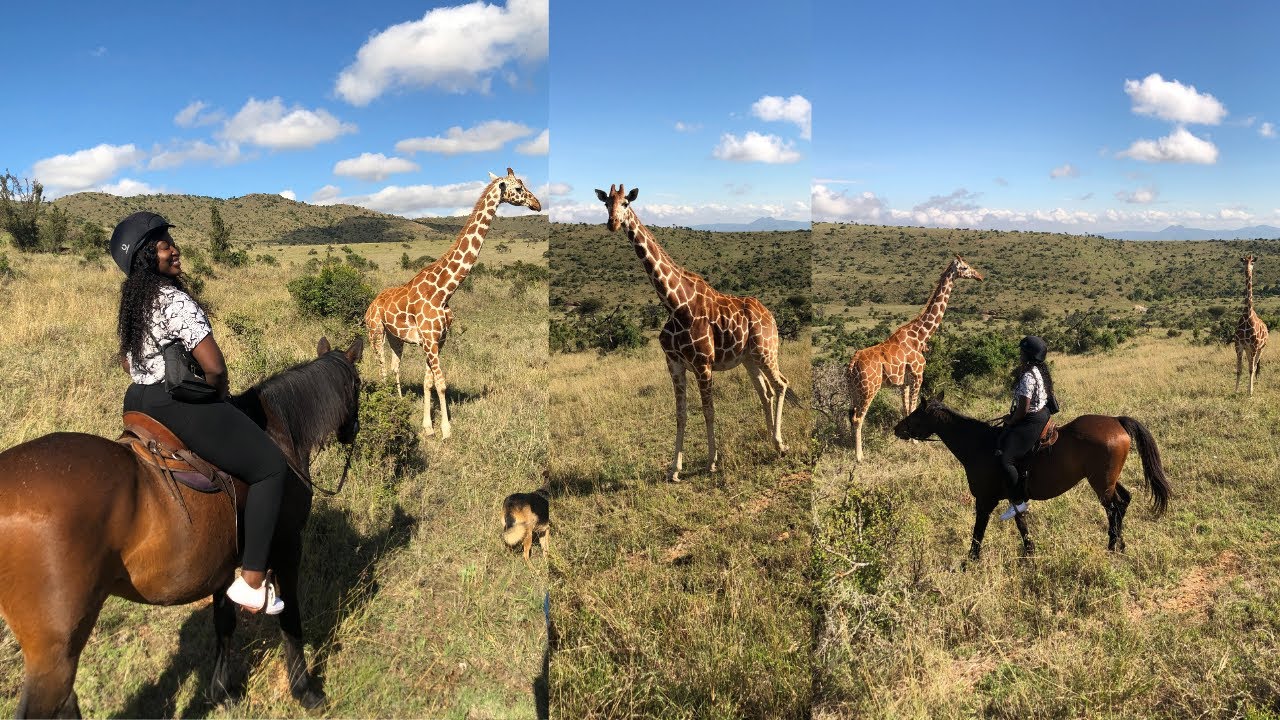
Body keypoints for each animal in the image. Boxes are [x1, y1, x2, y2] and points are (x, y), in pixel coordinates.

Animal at [0, 337, 363, 718]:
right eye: (359, 384)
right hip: (54, 650)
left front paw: (222, 691)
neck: (279, 432)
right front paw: (305, 691)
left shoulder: (224, 564)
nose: (351, 429)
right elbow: (291, 619)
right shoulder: (288, 546)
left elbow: (224, 623)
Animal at [365, 168, 541, 438]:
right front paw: (446, 430)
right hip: (375, 331)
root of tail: (371, 303)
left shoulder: (438, 341)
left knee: (395, 366)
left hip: (396, 337)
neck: (444, 292)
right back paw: (386, 402)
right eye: (519, 188)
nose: (537, 204)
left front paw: (428, 427)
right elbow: (441, 383)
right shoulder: (429, 341)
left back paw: (398, 400)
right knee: (381, 365)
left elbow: (428, 382)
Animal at [595, 184, 790, 482]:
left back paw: (780, 444)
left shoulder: (703, 364)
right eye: (607, 203)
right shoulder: (674, 364)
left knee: (781, 384)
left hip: (766, 350)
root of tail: (769, 314)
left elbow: (709, 411)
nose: (613, 223)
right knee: (765, 392)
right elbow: (681, 414)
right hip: (749, 359)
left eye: (626, 203)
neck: (676, 305)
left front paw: (711, 462)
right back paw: (771, 440)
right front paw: (674, 469)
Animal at [845, 255, 984, 461]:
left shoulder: (904, 382)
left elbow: (905, 409)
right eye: (965, 267)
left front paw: (909, 438)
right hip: (869, 389)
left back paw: (848, 445)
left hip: (853, 390)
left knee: (849, 414)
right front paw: (915, 442)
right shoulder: (918, 375)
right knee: (857, 418)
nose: (980, 276)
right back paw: (859, 456)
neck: (920, 336)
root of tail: (852, 363)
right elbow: (913, 407)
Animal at [892, 393, 1170, 559]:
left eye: (917, 414)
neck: (979, 445)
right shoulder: (1013, 497)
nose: (897, 428)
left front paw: (970, 560)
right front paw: (1029, 553)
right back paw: (1119, 544)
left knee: (1114, 507)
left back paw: (1113, 545)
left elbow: (978, 530)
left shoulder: (985, 499)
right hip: (1108, 480)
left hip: (1100, 483)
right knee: (1124, 501)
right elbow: (1021, 522)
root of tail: (1116, 421)